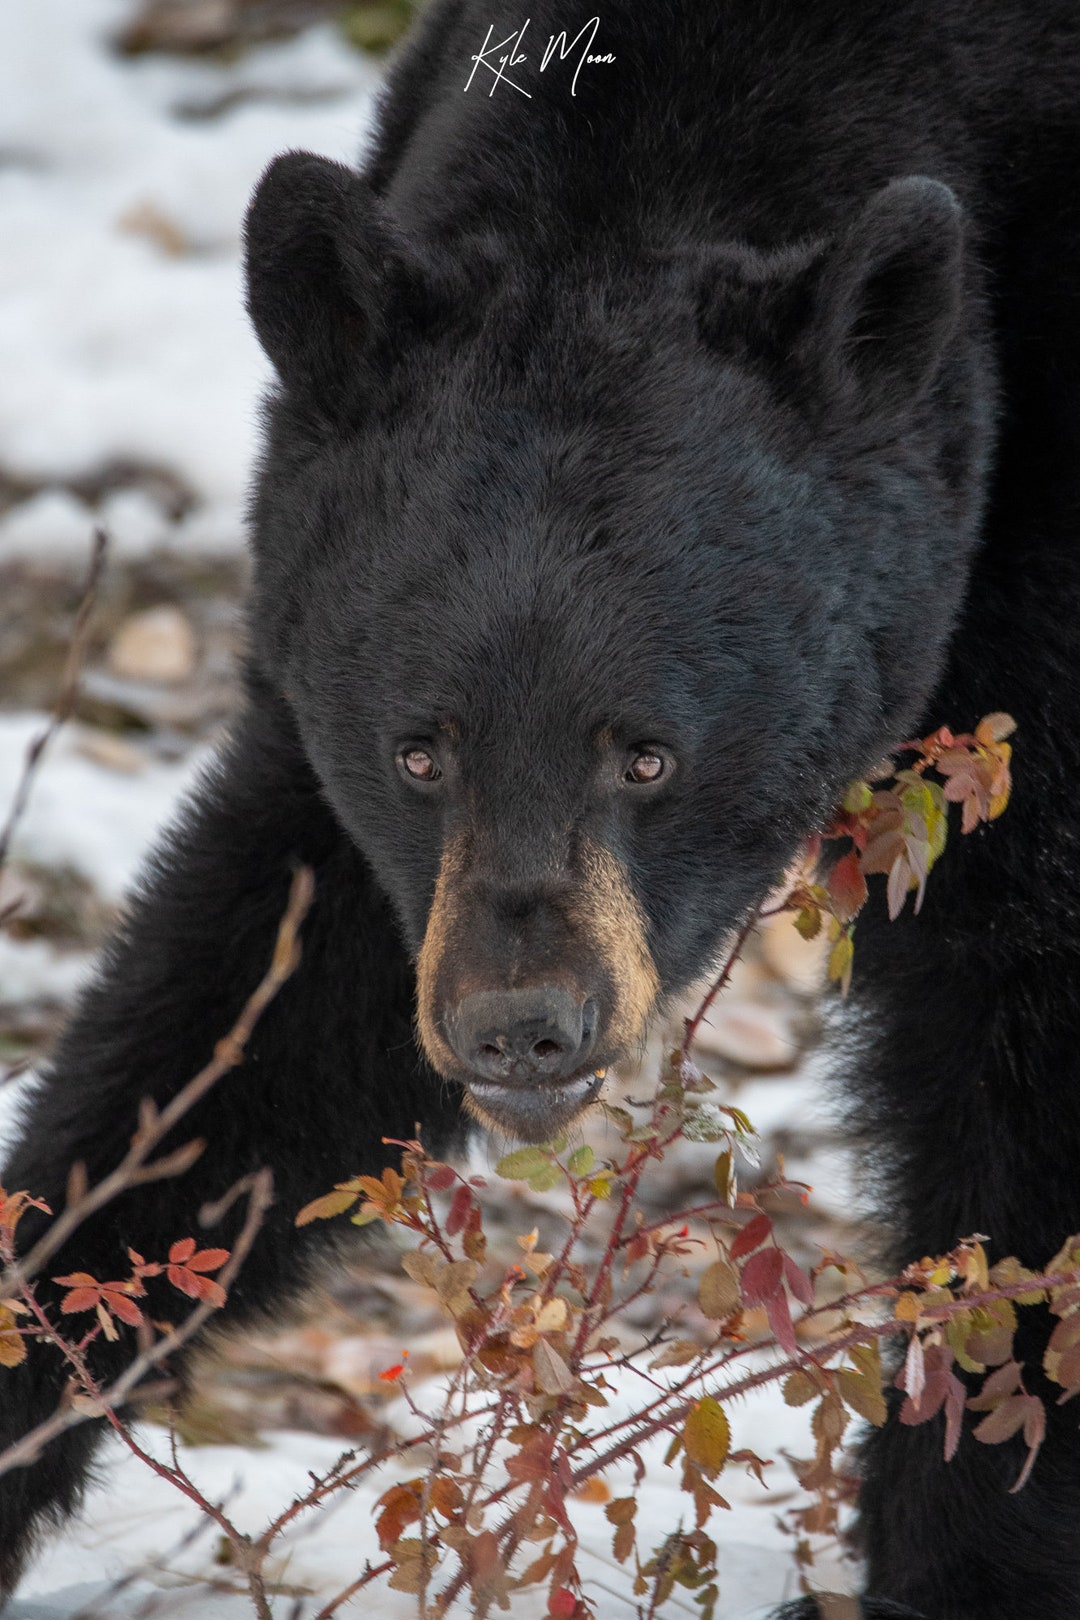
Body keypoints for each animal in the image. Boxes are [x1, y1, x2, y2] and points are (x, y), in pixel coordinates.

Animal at [2, 0, 1080, 1613]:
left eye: (648, 754)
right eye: (420, 751)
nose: (521, 1024)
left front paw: (965, 1559)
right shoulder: (354, 783)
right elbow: (243, 1010)